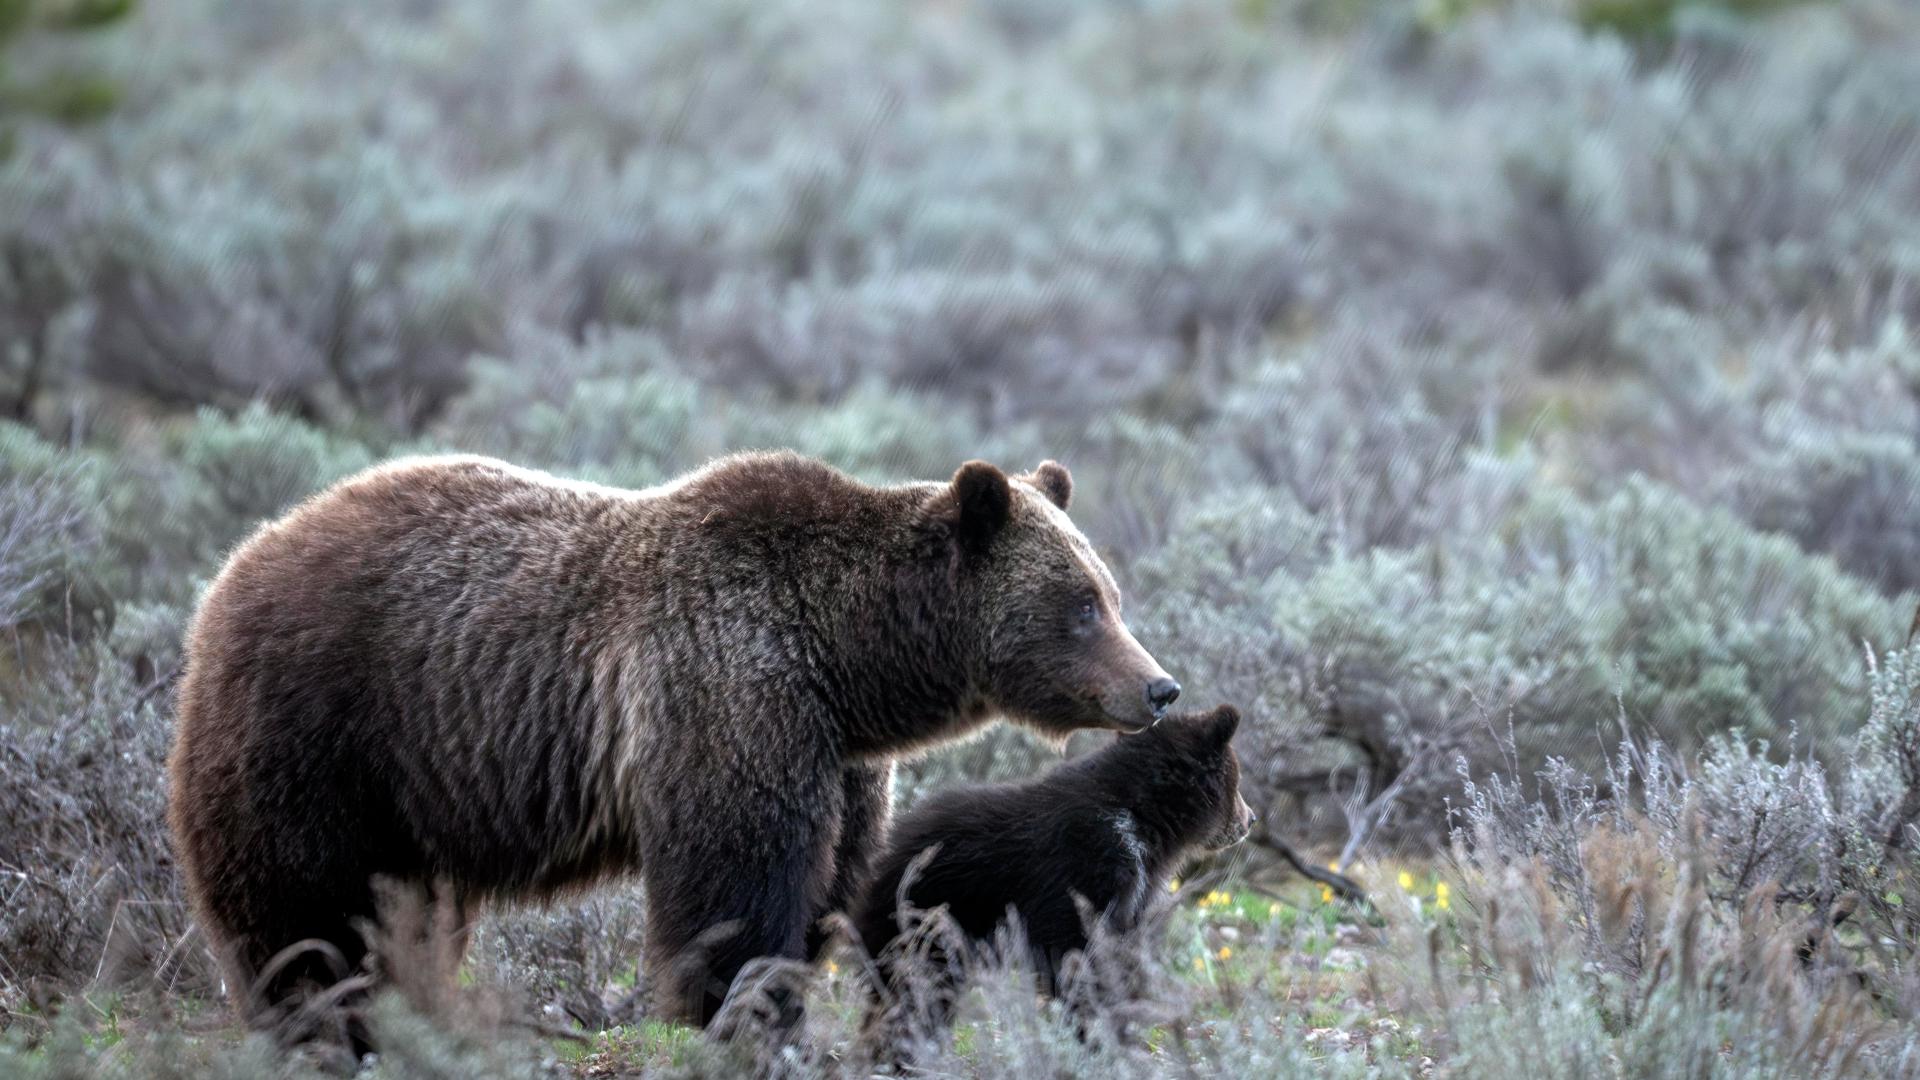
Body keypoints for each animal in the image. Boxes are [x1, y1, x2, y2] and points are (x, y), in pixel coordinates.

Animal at [165, 450, 1182, 1040]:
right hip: (323, 727)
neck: (849, 660)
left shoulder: (839, 755)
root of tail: (236, 562)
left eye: (1110, 592)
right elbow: (734, 876)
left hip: (409, 789)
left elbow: (828, 880)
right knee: (302, 902)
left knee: (401, 909)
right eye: (1081, 605)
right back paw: (315, 1015)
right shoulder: (729, 688)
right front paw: (735, 1007)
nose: (1159, 687)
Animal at [849, 704, 1253, 1049]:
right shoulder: (1086, 866)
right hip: (931, 915)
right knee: (916, 985)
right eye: (1236, 781)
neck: (1141, 820)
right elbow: (1080, 956)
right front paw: (1102, 1036)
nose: (1249, 820)